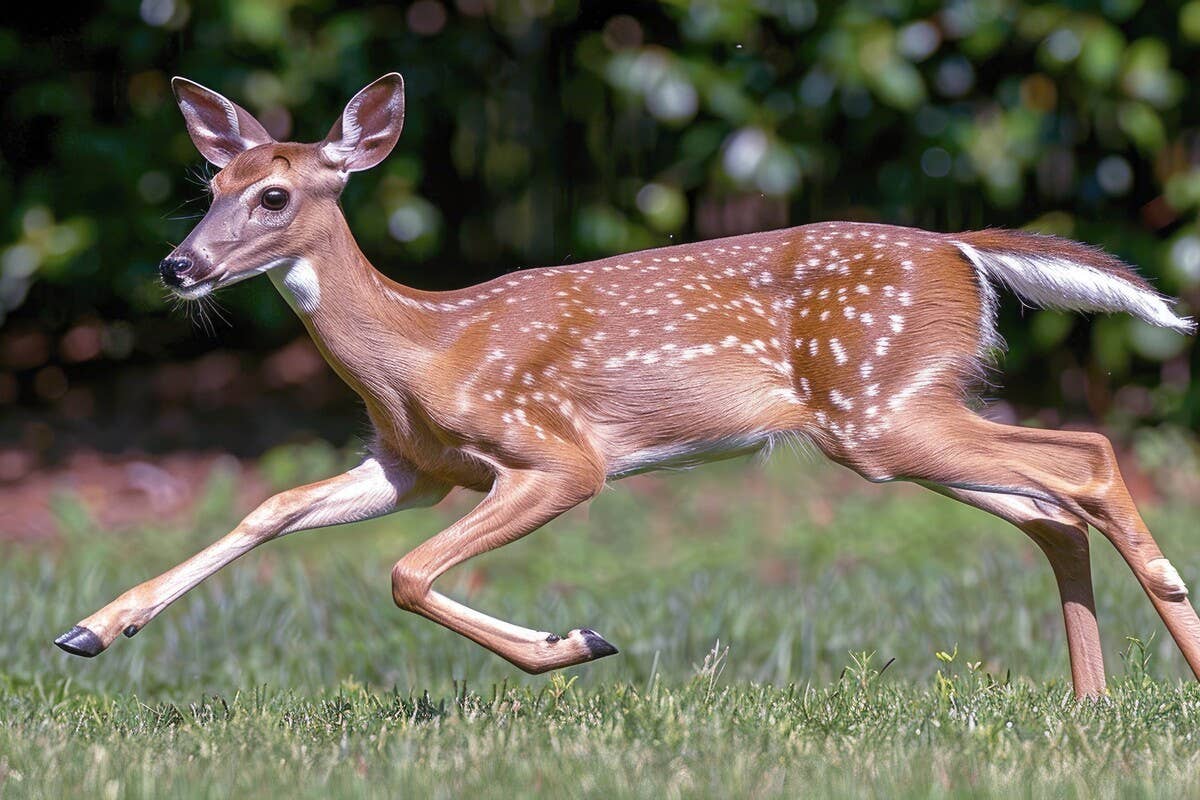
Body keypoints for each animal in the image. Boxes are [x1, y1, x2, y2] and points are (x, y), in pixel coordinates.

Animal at [53, 73, 1199, 699]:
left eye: (276, 196)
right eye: (212, 183)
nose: (178, 267)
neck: (424, 349)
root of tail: (966, 249)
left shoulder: (558, 456)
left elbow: (408, 574)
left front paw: (575, 642)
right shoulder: (413, 467)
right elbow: (277, 504)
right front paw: (94, 628)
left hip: (882, 407)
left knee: (1086, 457)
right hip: (893, 422)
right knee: (1052, 511)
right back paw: (1093, 705)